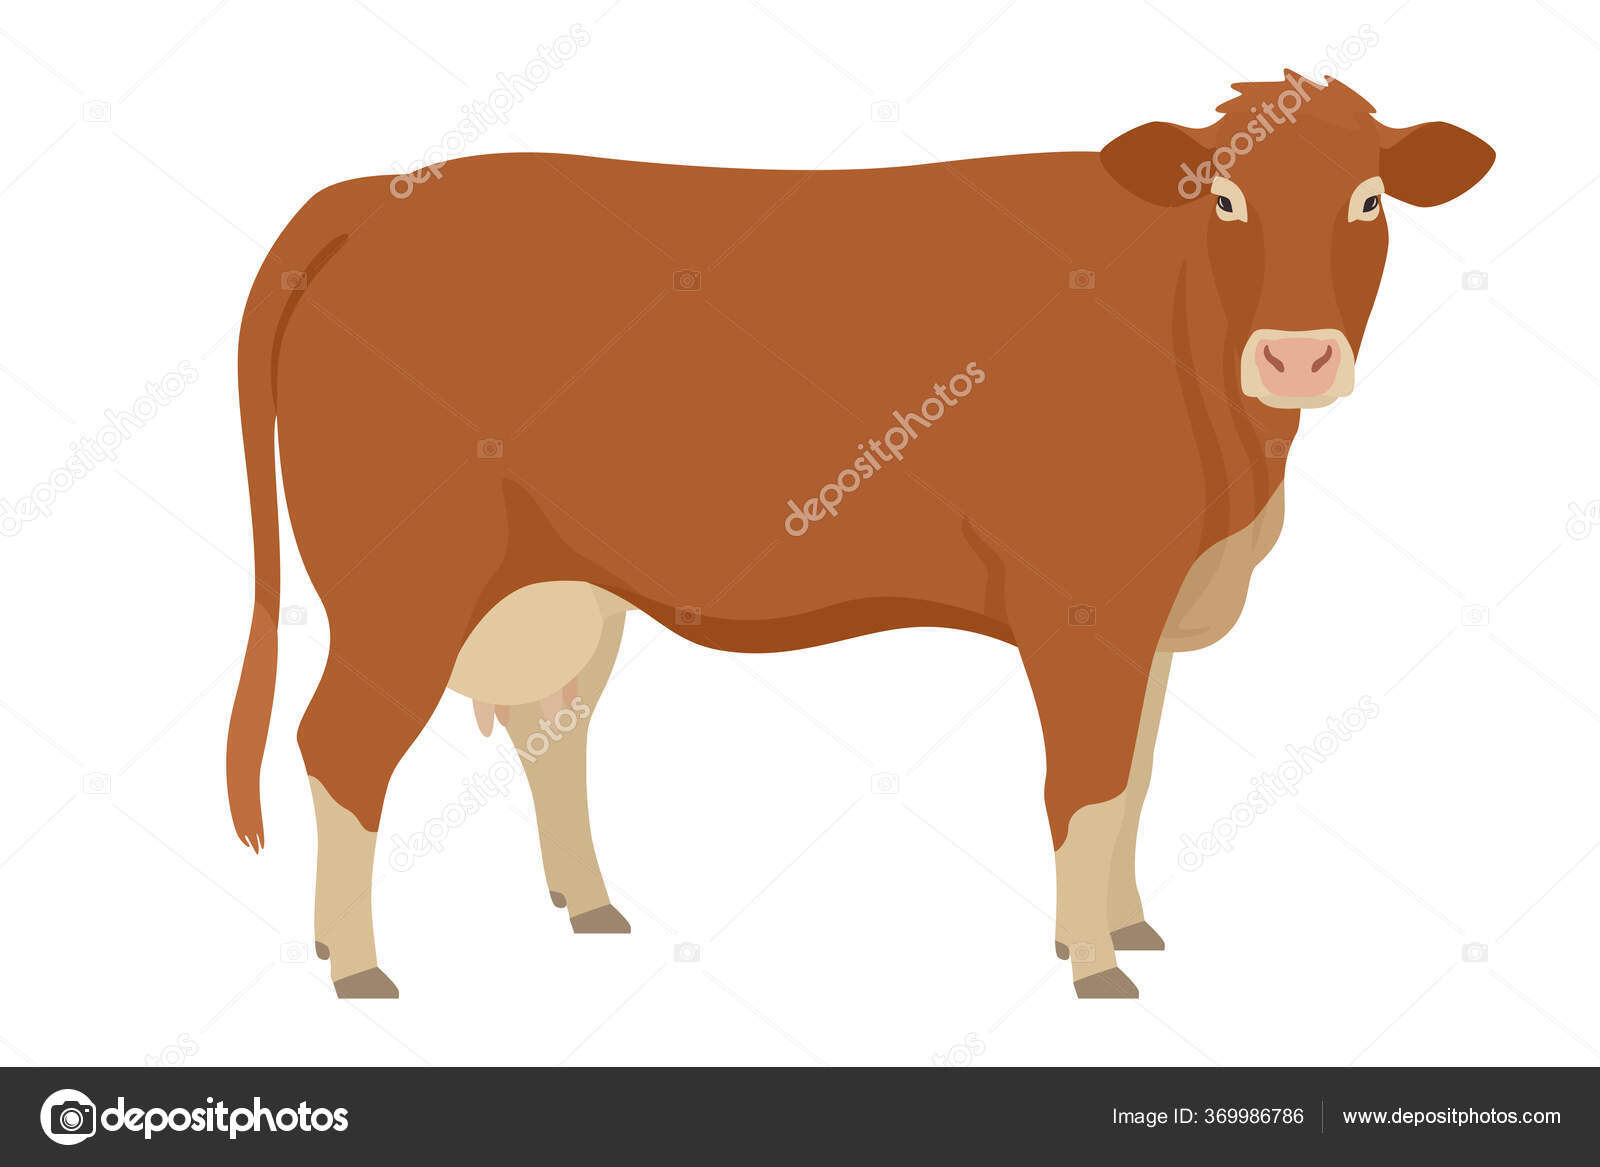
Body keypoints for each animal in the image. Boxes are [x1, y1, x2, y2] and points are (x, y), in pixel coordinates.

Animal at [227, 72, 1492, 999]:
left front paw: (1126, 928)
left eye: (1369, 202)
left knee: (553, 731)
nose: (1298, 356)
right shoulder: (1083, 603)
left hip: (550, 584)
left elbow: (1134, 776)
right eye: (1221, 200)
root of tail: (375, 192)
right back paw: (358, 968)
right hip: (401, 582)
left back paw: (585, 906)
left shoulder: (1155, 612)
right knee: (341, 747)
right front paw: (1090, 967)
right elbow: (1085, 783)